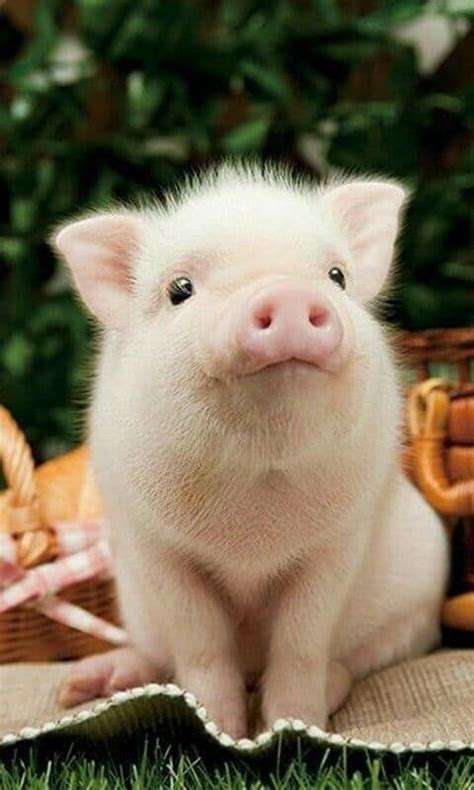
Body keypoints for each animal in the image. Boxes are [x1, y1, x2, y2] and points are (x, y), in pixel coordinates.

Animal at [53, 164, 449, 739]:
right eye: (179, 290)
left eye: (337, 276)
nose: (286, 295)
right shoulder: (154, 545)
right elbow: (201, 646)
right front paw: (221, 731)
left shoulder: (338, 542)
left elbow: (303, 642)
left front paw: (290, 726)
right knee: (155, 654)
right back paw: (82, 685)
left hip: (415, 608)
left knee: (354, 659)